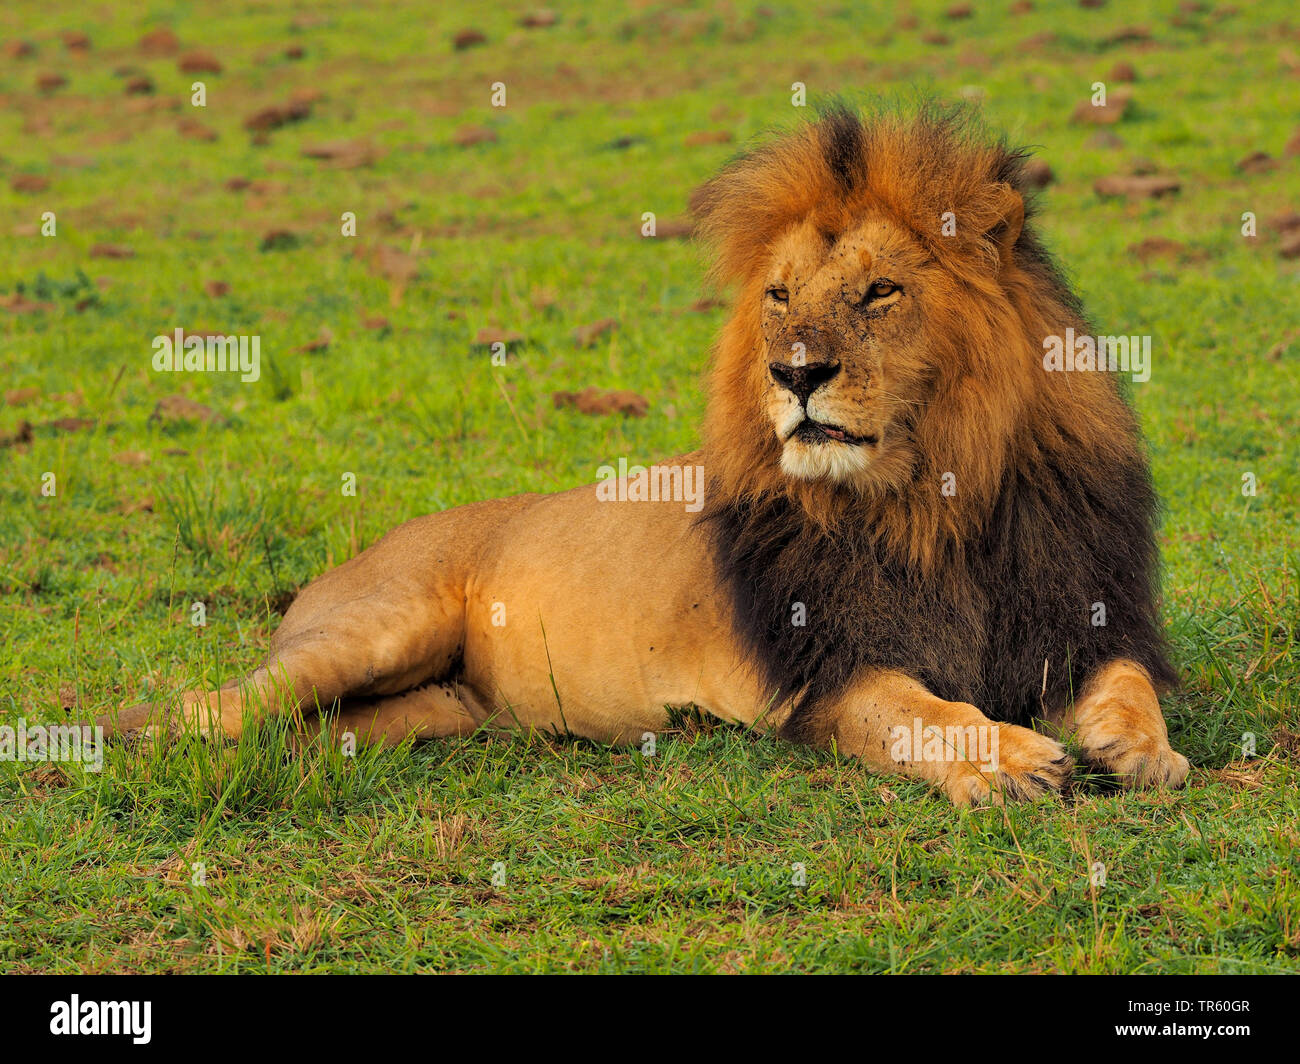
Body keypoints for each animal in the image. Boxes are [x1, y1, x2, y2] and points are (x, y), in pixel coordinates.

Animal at [100, 104, 1190, 804]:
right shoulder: (827, 675)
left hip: (435, 711)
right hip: (371, 629)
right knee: (209, 706)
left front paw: (1140, 749)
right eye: (779, 296)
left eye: (881, 291)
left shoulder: (1078, 612)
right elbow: (921, 711)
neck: (932, 502)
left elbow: (1127, 682)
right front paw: (1011, 757)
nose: (796, 373)